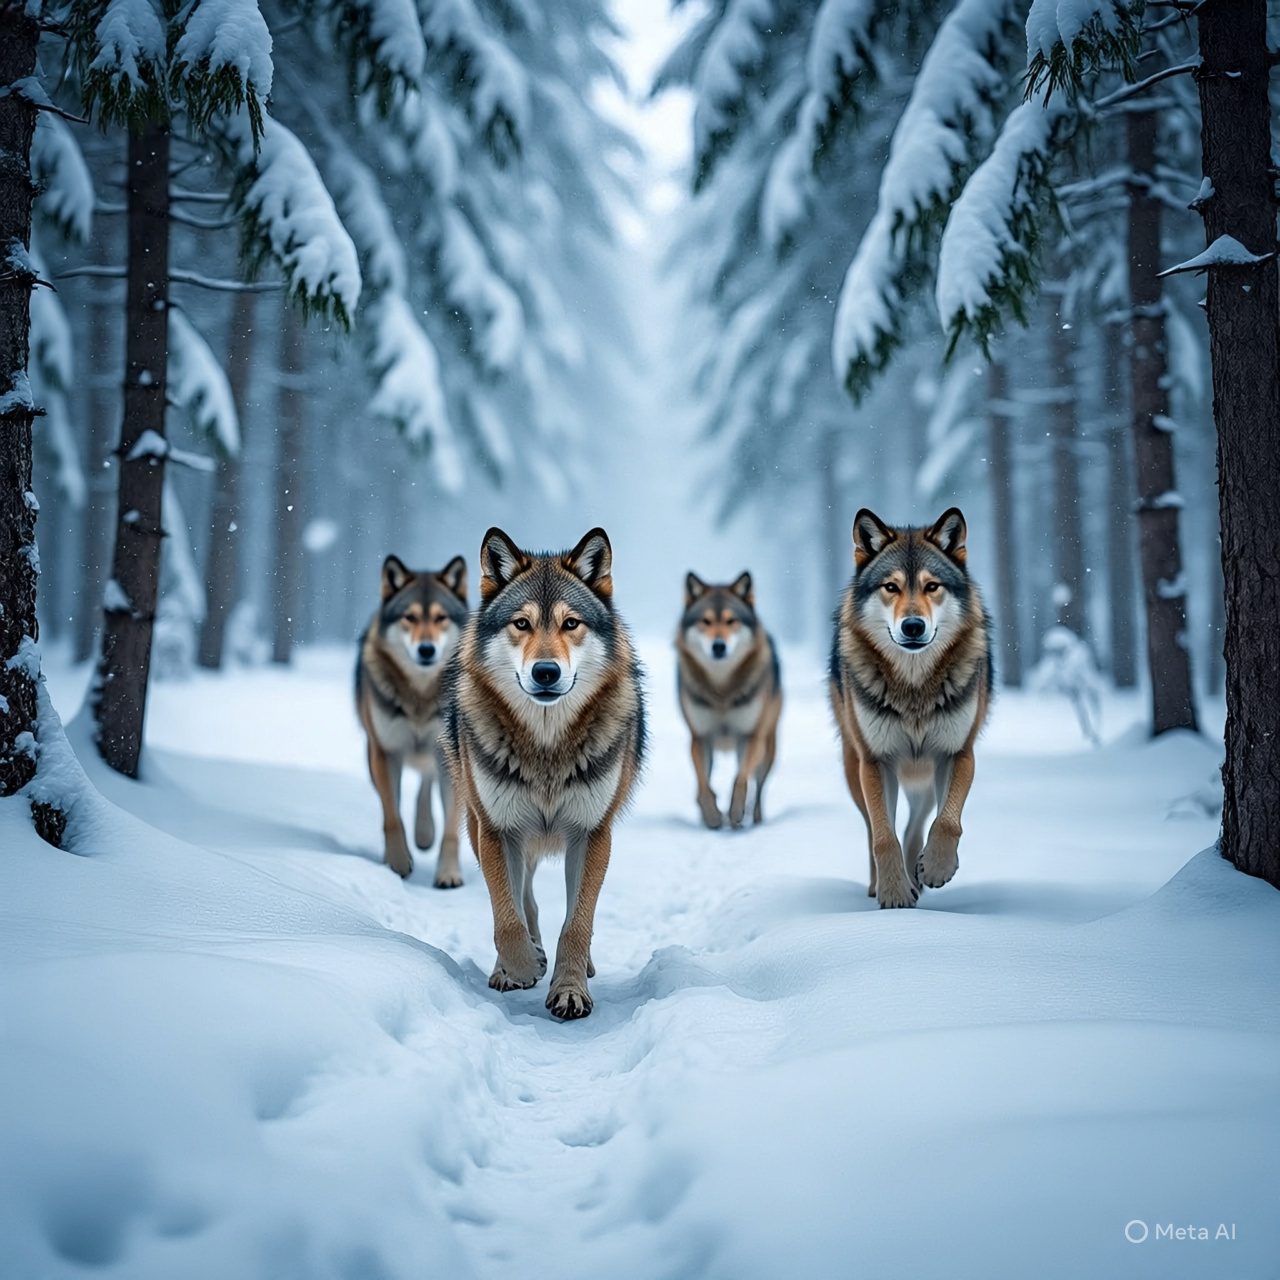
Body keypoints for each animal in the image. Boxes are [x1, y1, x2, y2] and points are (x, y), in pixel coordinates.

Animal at [356, 554, 469, 886]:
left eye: (441, 618)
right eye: (410, 617)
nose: (426, 649)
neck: (421, 695)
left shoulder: (451, 755)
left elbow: (451, 828)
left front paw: (448, 874)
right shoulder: (384, 752)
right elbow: (392, 816)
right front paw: (397, 863)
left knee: (426, 783)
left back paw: (424, 835)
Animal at [442, 527, 646, 1020]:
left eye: (571, 624)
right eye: (521, 624)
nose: (547, 672)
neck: (547, 749)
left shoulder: (593, 834)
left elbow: (577, 923)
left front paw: (570, 990)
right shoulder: (497, 830)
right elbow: (507, 914)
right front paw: (522, 966)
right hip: (484, 827)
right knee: (524, 897)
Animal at [676, 572, 782, 829]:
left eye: (731, 621)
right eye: (705, 621)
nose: (718, 646)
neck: (721, 691)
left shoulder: (750, 736)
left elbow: (740, 778)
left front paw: (735, 813)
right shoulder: (700, 737)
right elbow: (703, 787)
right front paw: (713, 816)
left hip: (768, 749)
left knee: (759, 788)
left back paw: (752, 820)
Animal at [829, 508, 992, 909]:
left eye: (932, 587)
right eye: (891, 587)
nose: (914, 626)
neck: (914, 688)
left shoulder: (958, 753)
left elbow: (948, 821)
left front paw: (935, 868)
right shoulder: (874, 761)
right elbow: (882, 835)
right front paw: (893, 894)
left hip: (925, 775)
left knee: (916, 822)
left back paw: (918, 871)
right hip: (855, 767)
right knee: (875, 826)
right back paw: (883, 883)